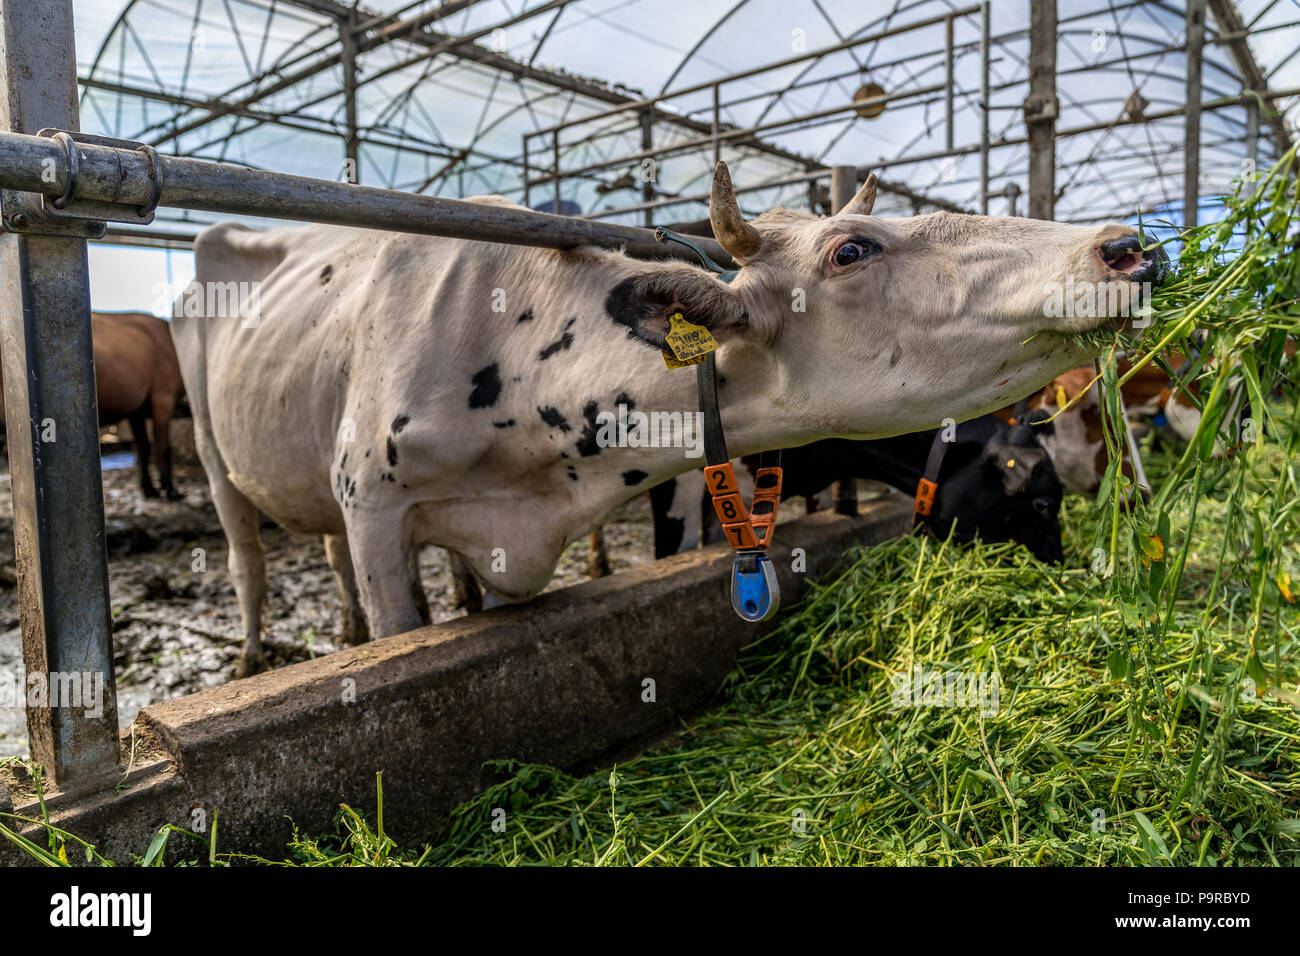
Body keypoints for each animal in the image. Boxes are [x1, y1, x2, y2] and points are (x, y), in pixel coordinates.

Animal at [0, 311, 184, 499]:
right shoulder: (163, 396)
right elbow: (163, 446)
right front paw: (171, 490)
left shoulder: (136, 408)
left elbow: (144, 446)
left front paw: (149, 488)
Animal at [172, 162, 1167, 676]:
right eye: (851, 250)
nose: (1125, 245)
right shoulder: (374, 503)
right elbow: (396, 621)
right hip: (220, 458)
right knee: (248, 557)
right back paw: (255, 657)